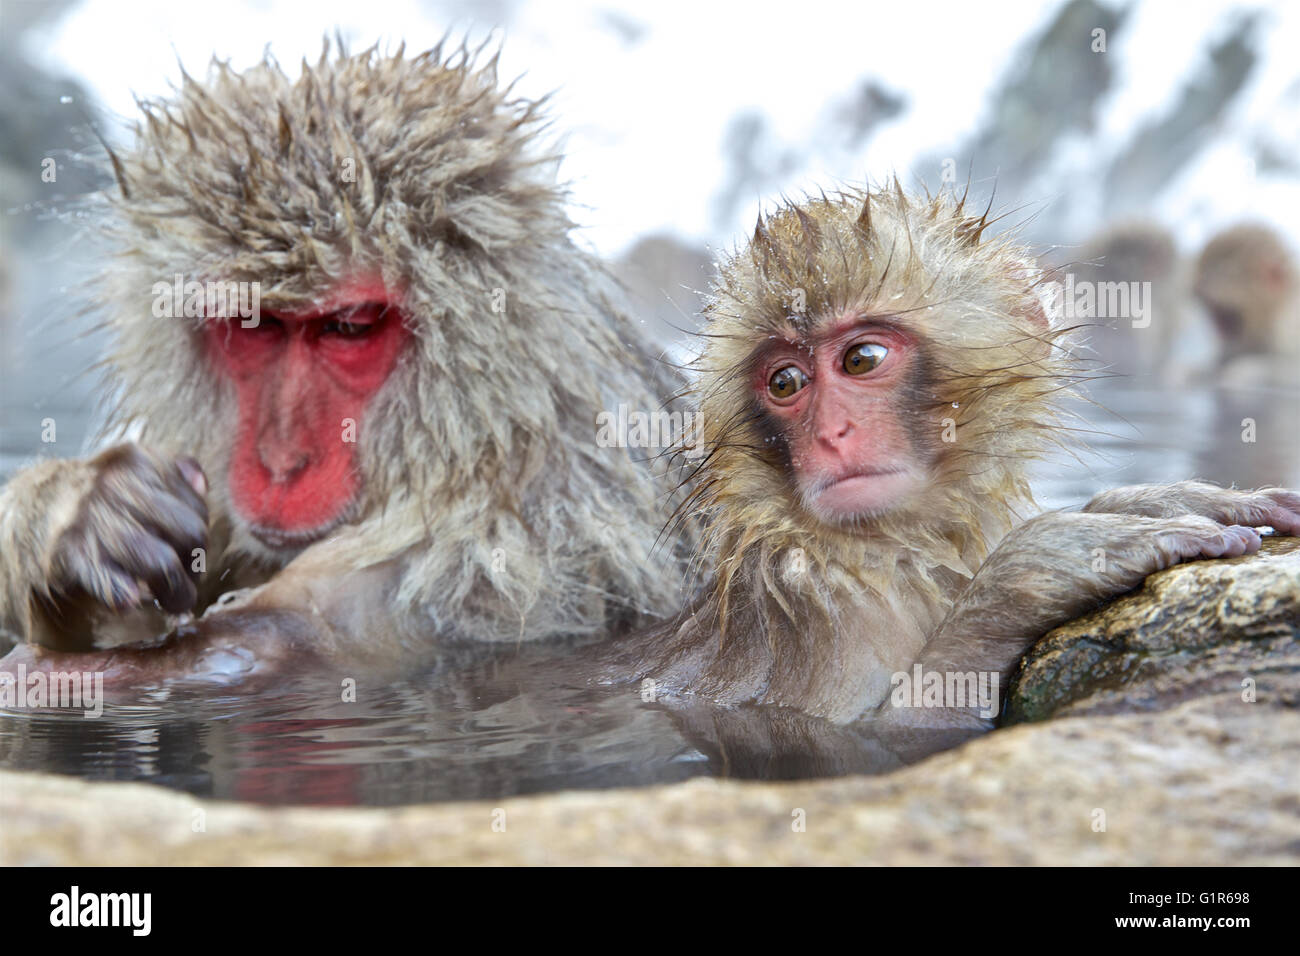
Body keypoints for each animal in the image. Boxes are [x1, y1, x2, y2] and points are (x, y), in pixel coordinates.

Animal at [0, 40, 696, 660]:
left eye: (351, 327)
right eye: (253, 324)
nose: (281, 462)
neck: (489, 437)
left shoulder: (515, 549)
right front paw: (74, 518)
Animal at [598, 183, 1300, 730]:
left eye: (862, 359)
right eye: (786, 382)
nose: (831, 434)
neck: (898, 544)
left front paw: (1154, 498)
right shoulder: (823, 608)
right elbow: (903, 722)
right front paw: (1046, 563)